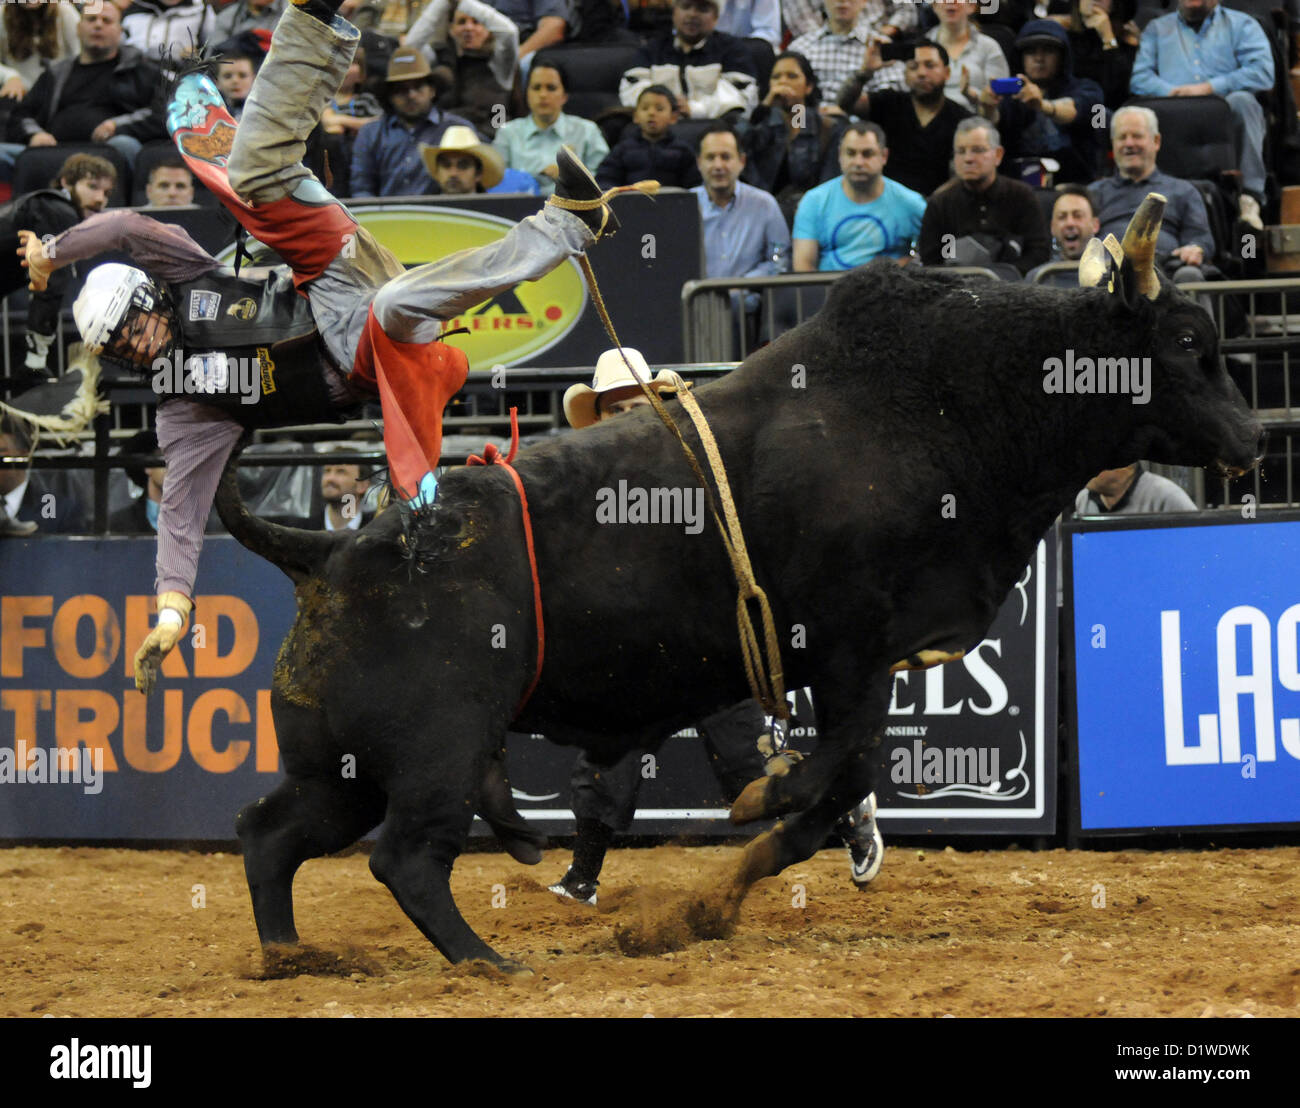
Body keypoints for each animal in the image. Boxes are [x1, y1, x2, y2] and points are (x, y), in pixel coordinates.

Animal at [215, 196, 1262, 969]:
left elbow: (836, 794)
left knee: (269, 833)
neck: (948, 403)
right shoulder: (848, 652)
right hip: (437, 741)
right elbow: (830, 781)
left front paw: (718, 891)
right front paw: (756, 814)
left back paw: (291, 955)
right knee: (402, 856)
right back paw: (480, 961)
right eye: (1183, 339)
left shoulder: (858, 666)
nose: (1252, 439)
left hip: (344, 763)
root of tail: (327, 551)